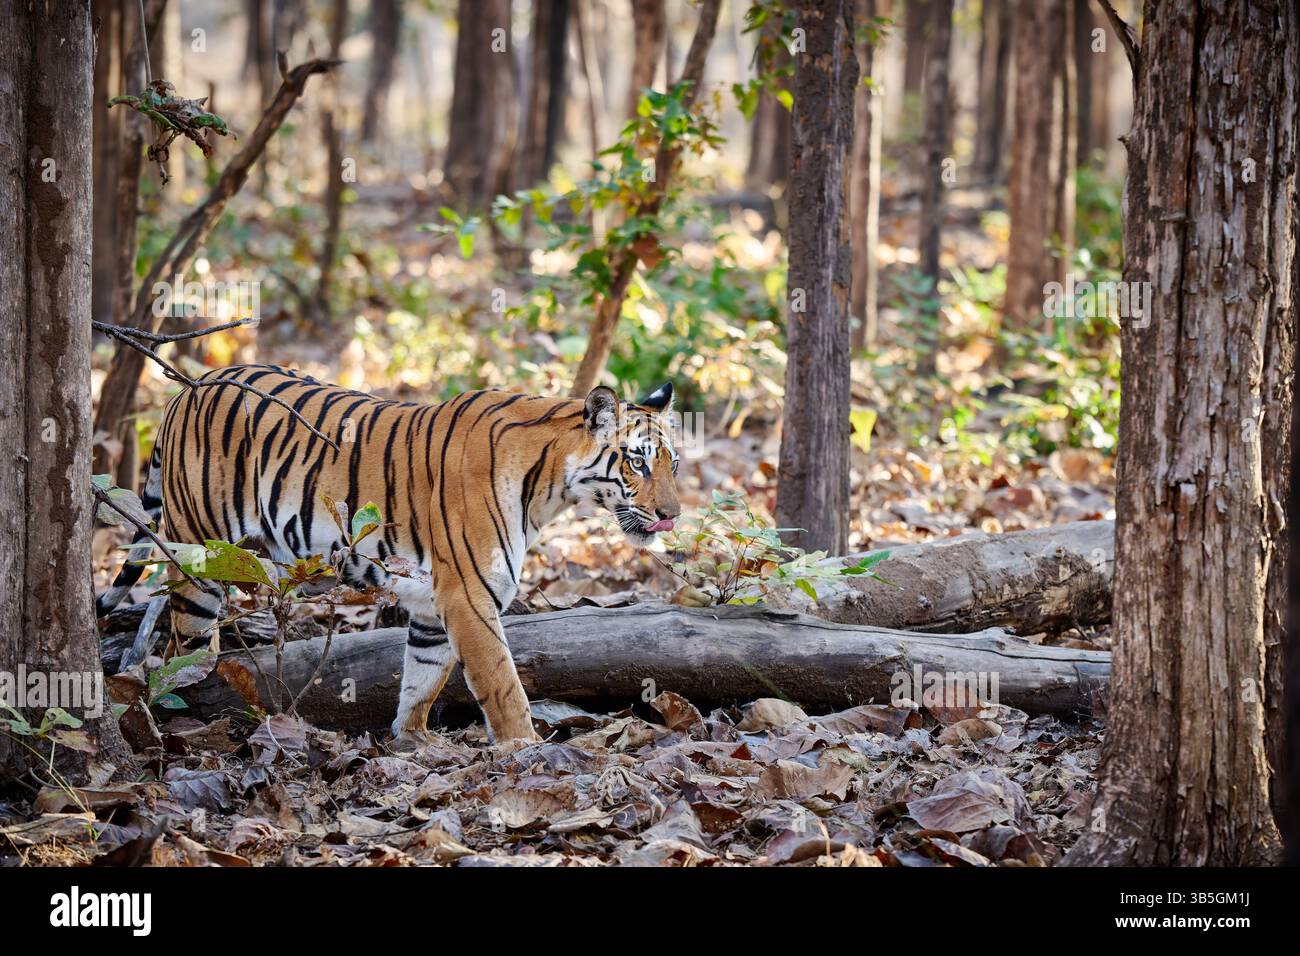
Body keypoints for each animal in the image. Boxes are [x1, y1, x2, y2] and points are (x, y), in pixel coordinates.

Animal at [96, 365, 682, 744]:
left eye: (672, 463)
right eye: (637, 462)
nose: (672, 515)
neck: (550, 484)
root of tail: (187, 390)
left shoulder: (434, 603)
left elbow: (422, 678)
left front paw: (411, 743)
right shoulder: (469, 595)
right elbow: (501, 683)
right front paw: (528, 752)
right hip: (198, 556)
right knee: (181, 654)